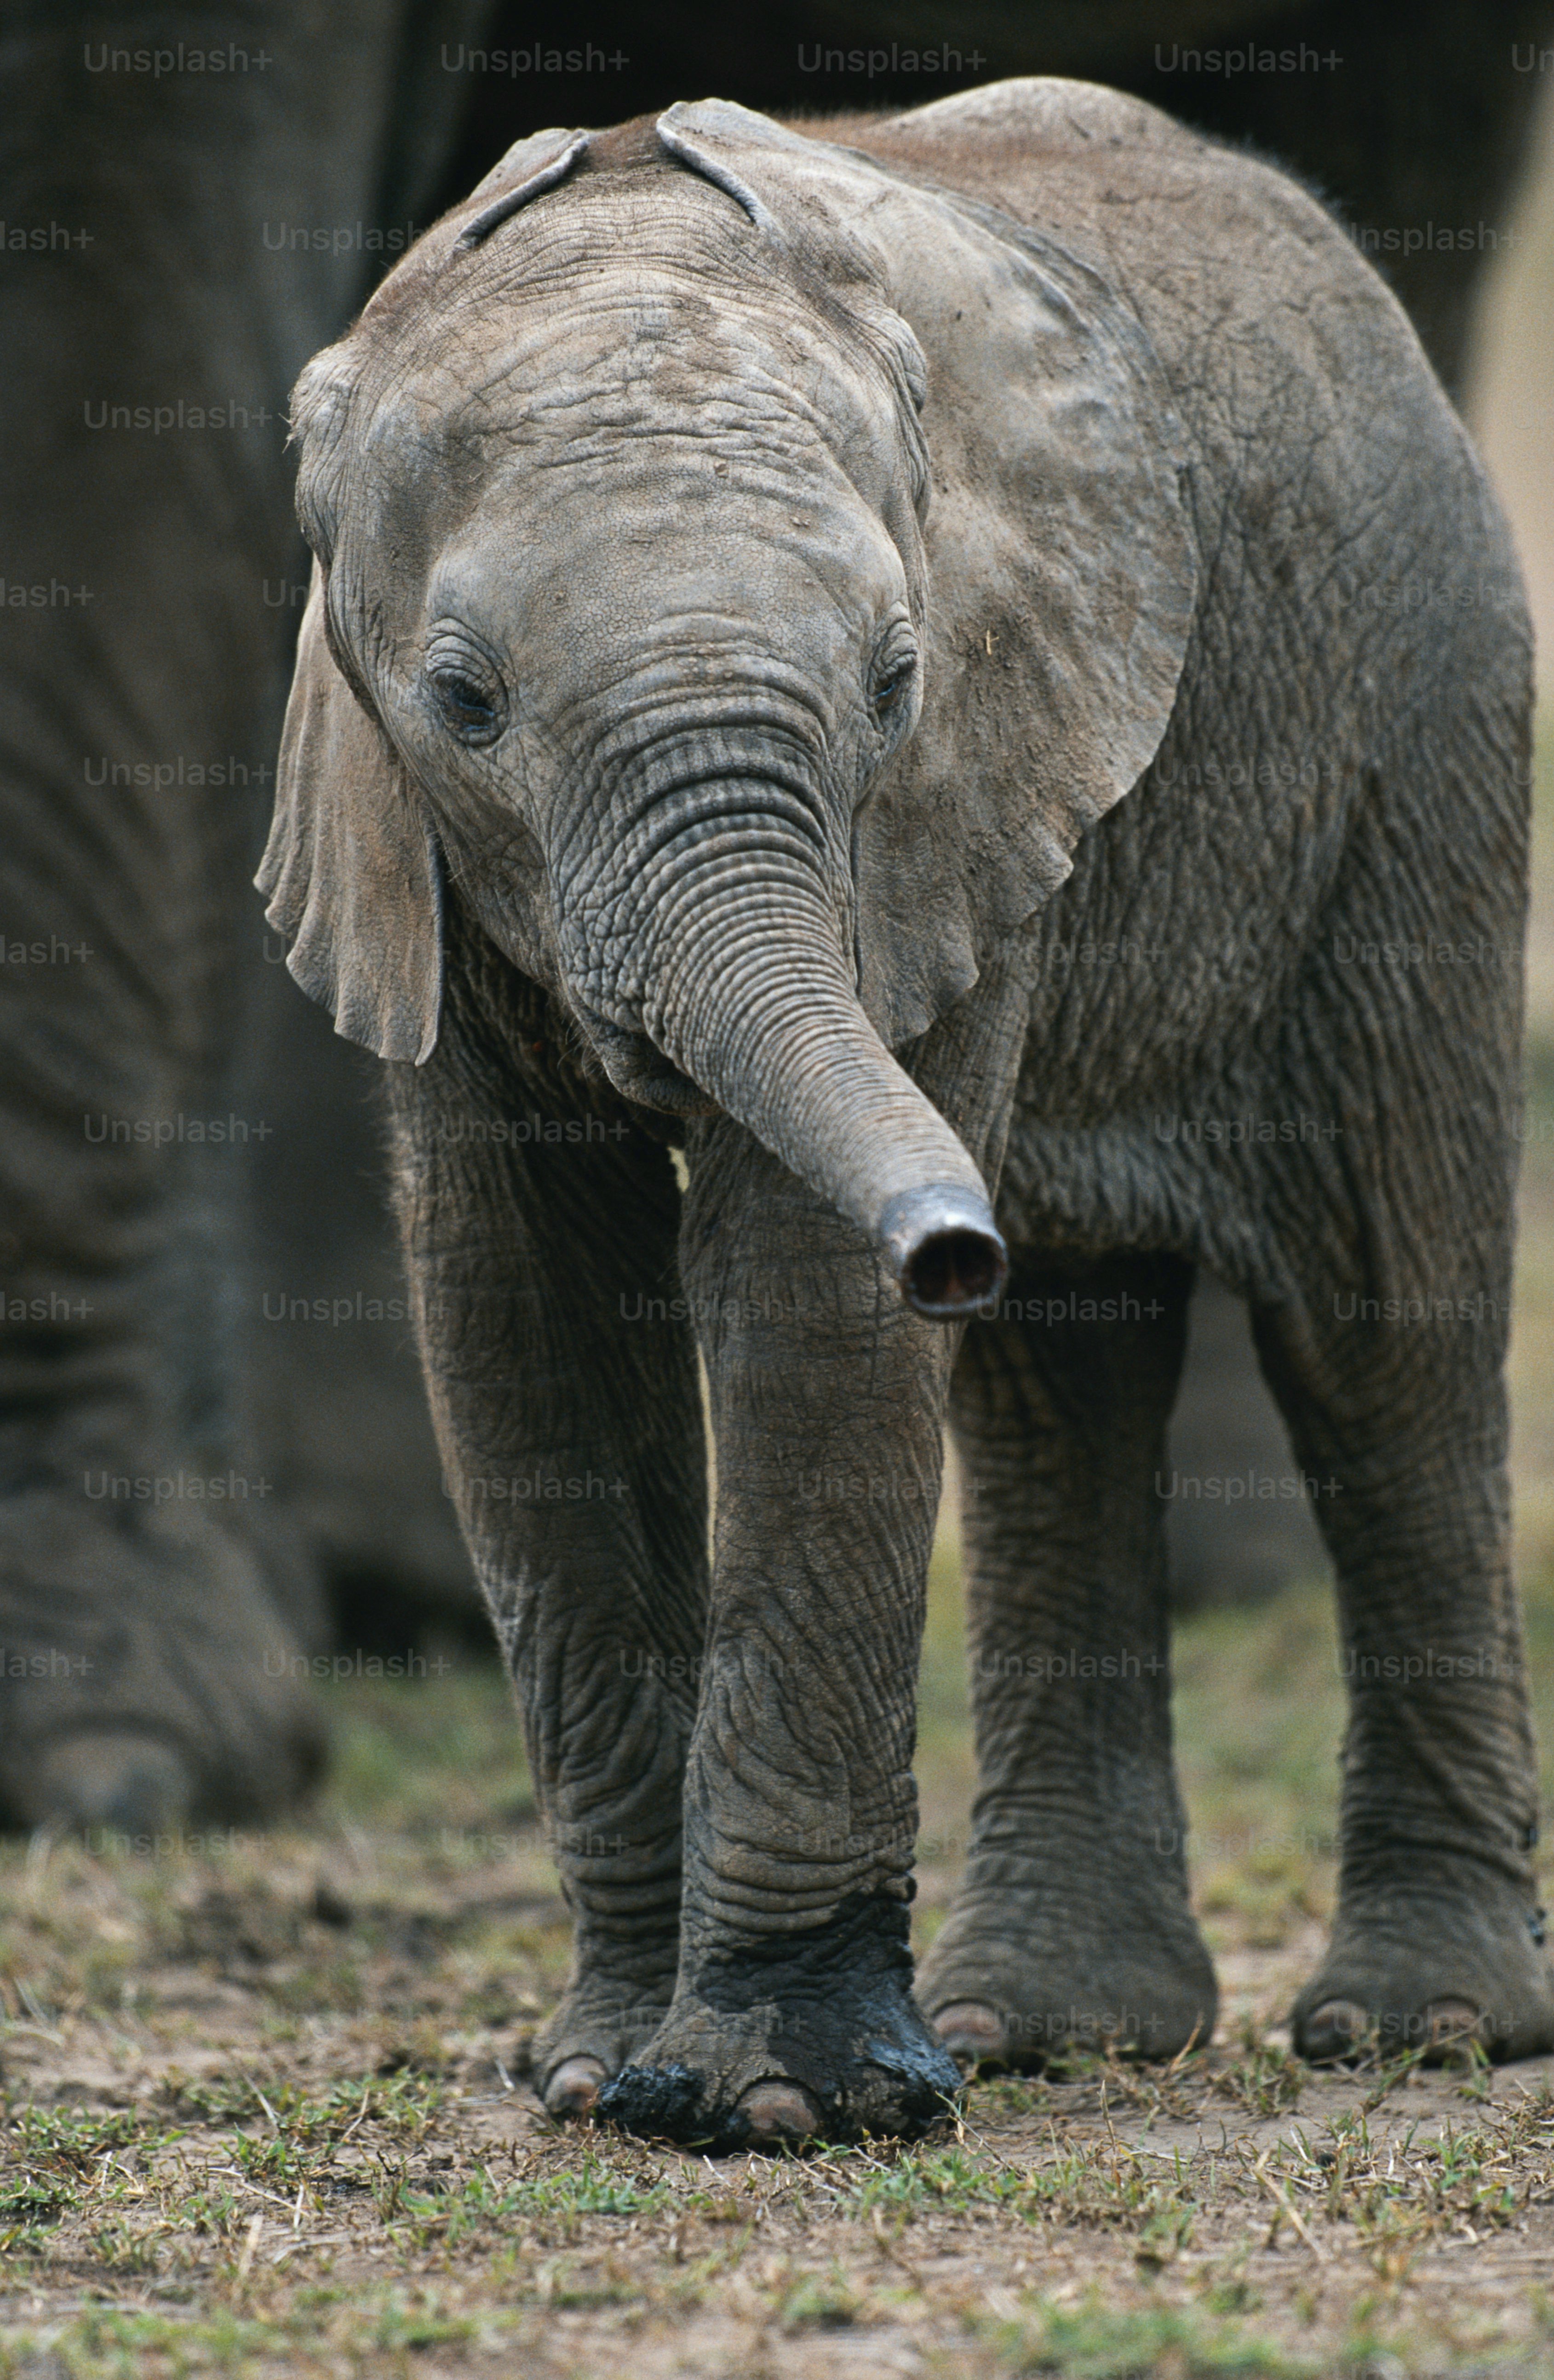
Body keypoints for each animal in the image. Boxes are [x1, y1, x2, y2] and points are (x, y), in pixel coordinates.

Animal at [261, 78, 1548, 2148]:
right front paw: (595, 2076)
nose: (943, 1241)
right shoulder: (403, 849)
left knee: (1378, 1328)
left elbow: (798, 1300)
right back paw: (1049, 2027)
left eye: (893, 679)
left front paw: (775, 2104)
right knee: (1060, 1378)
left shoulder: (956, 785)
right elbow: (524, 1312)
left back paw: (1414, 2028)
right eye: (459, 701)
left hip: (1414, 718)